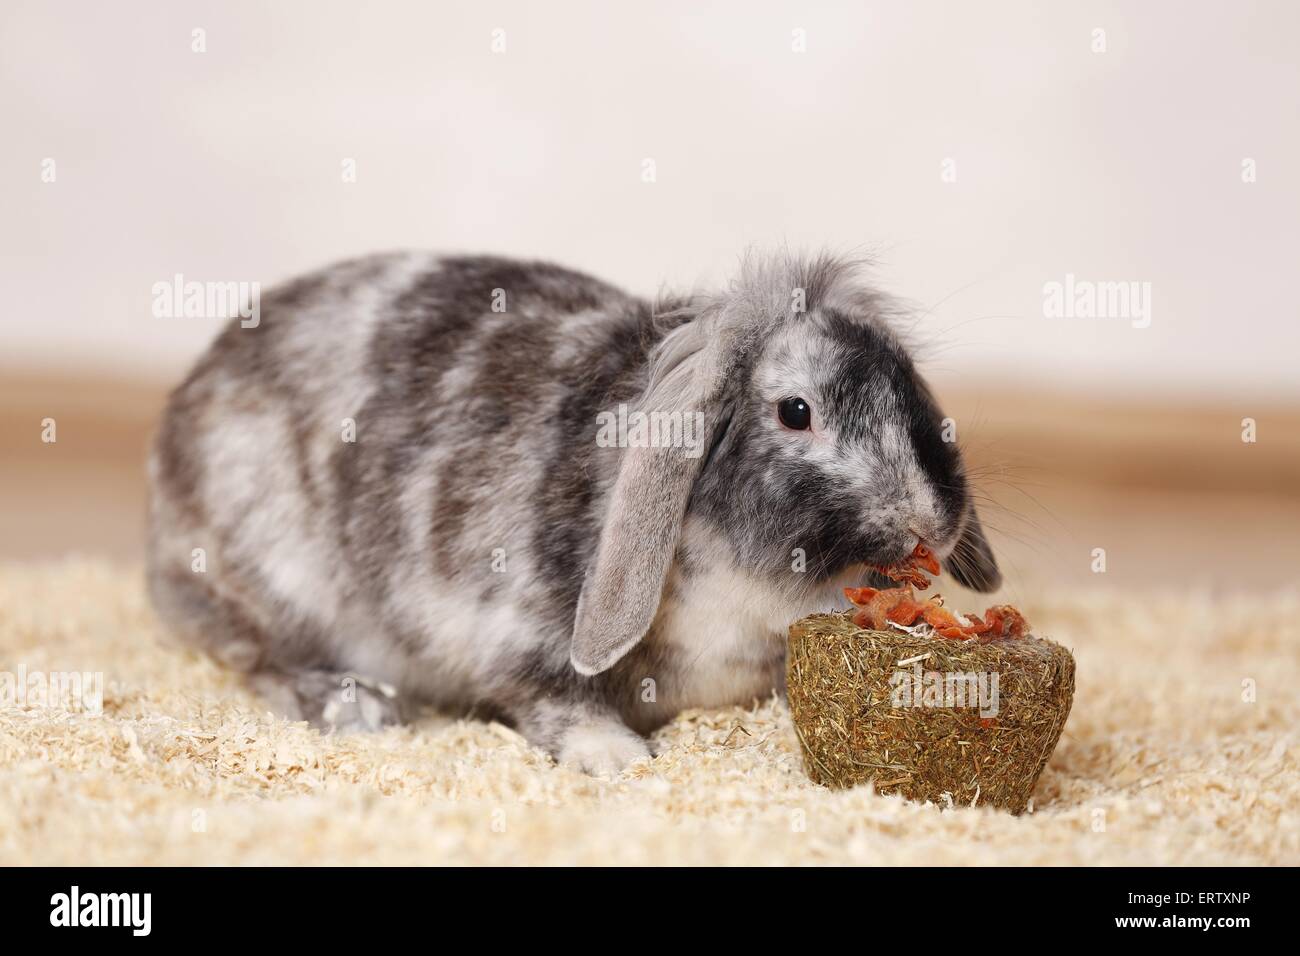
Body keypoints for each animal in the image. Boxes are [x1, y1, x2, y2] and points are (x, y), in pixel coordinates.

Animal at [146, 250, 1001, 774]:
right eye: (797, 412)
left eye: (908, 385)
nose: (931, 521)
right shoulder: (512, 629)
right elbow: (552, 697)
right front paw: (618, 758)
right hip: (279, 584)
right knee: (260, 660)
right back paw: (355, 706)